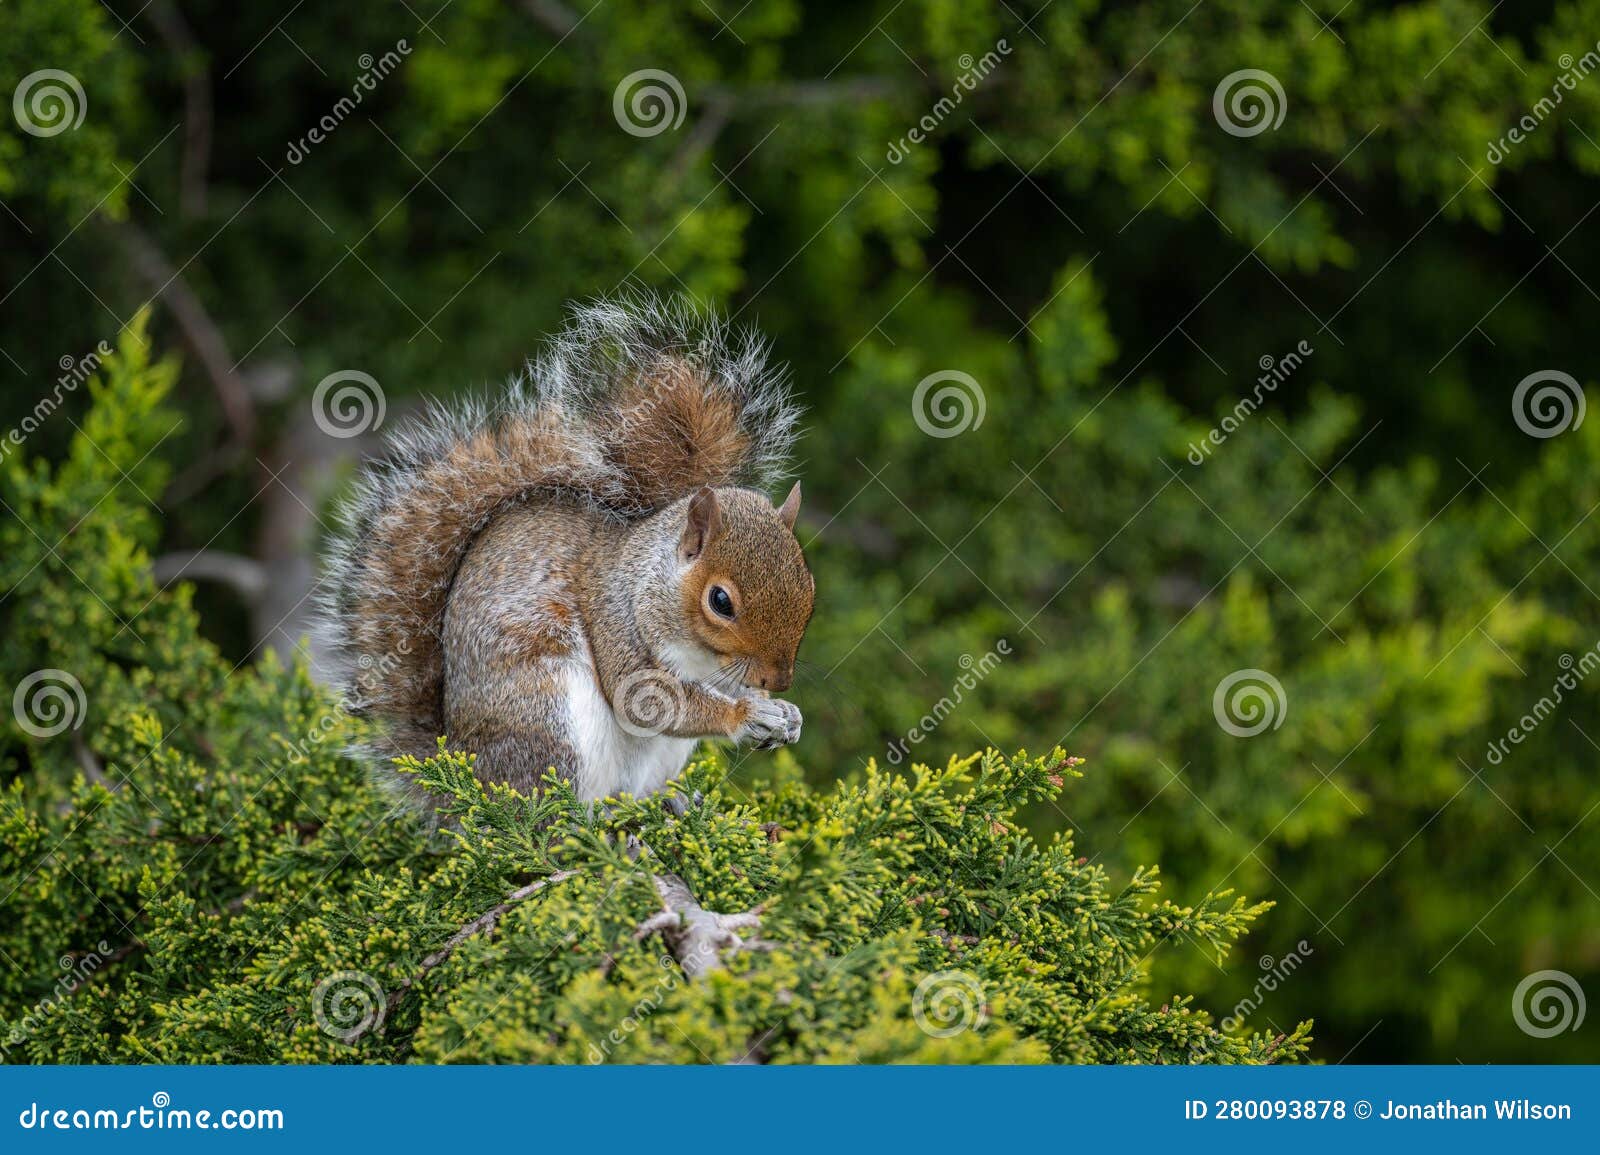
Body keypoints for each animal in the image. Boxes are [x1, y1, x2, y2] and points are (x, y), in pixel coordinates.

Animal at [318, 293, 814, 806]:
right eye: (720, 601)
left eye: (808, 586)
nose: (778, 680)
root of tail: (464, 773)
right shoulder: (618, 618)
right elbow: (644, 702)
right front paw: (746, 715)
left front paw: (782, 712)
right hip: (550, 716)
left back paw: (668, 802)